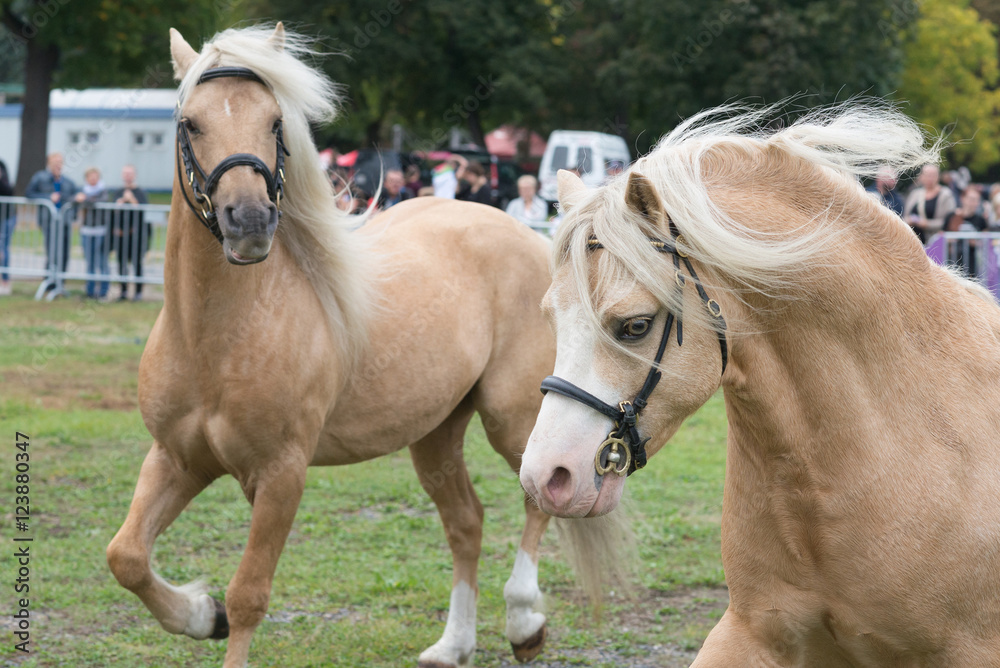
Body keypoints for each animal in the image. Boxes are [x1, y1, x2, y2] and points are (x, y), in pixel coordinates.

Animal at [106, 24, 561, 668]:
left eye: (275, 121)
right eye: (190, 123)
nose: (249, 221)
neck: (212, 341)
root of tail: (527, 234)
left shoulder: (280, 475)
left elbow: (248, 595)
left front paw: (219, 613)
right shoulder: (177, 458)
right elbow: (126, 557)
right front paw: (199, 614)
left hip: (510, 418)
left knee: (537, 499)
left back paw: (524, 622)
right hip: (435, 433)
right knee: (466, 522)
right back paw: (453, 644)